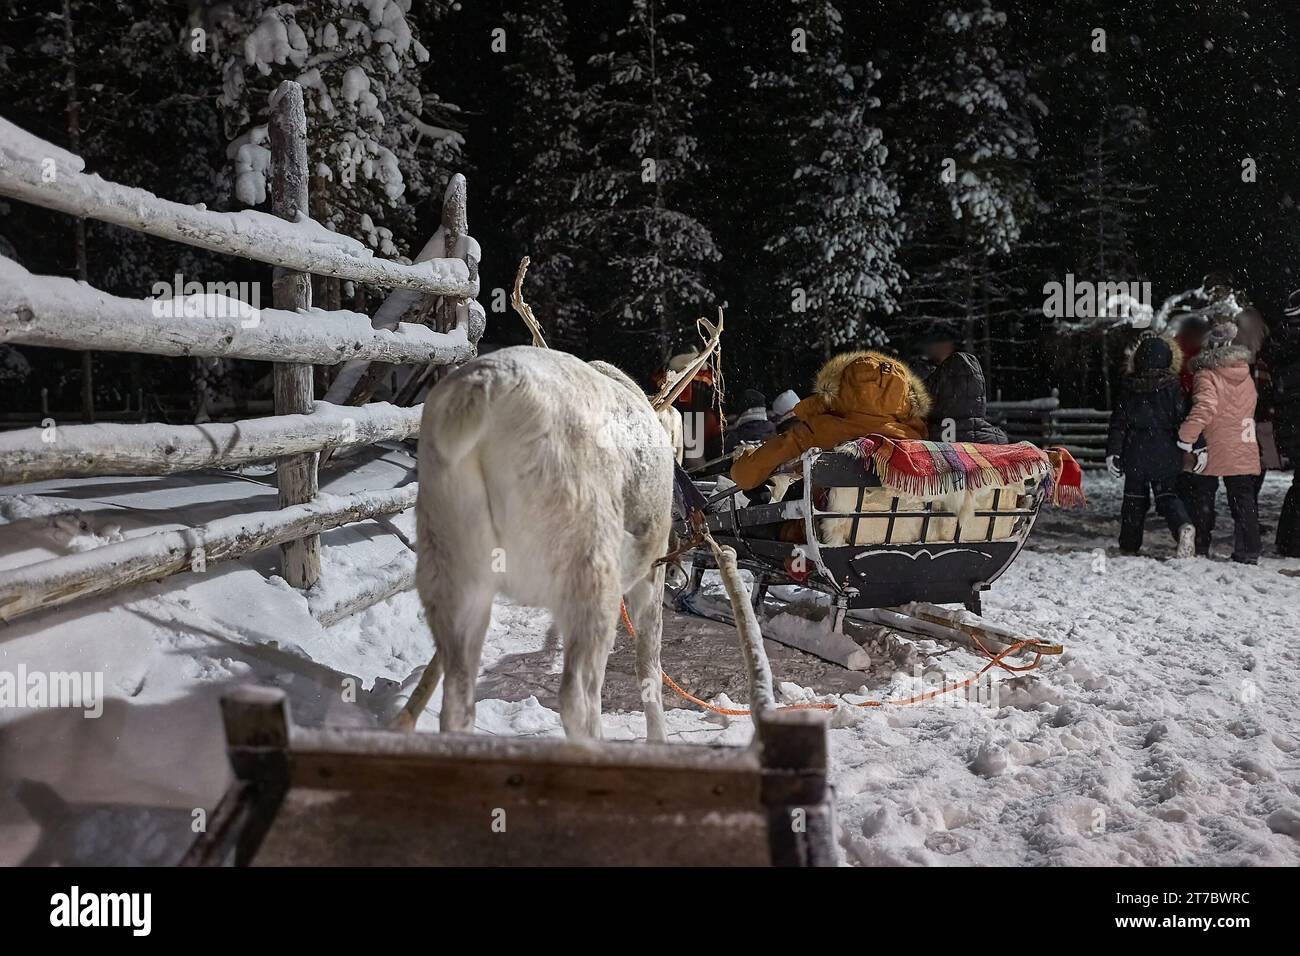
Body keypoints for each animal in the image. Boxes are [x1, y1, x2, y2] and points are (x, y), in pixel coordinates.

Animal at [392, 346, 676, 742]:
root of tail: (484, 390)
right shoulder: (653, 569)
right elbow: (649, 668)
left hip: (450, 561)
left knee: (457, 697)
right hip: (588, 567)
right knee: (577, 697)